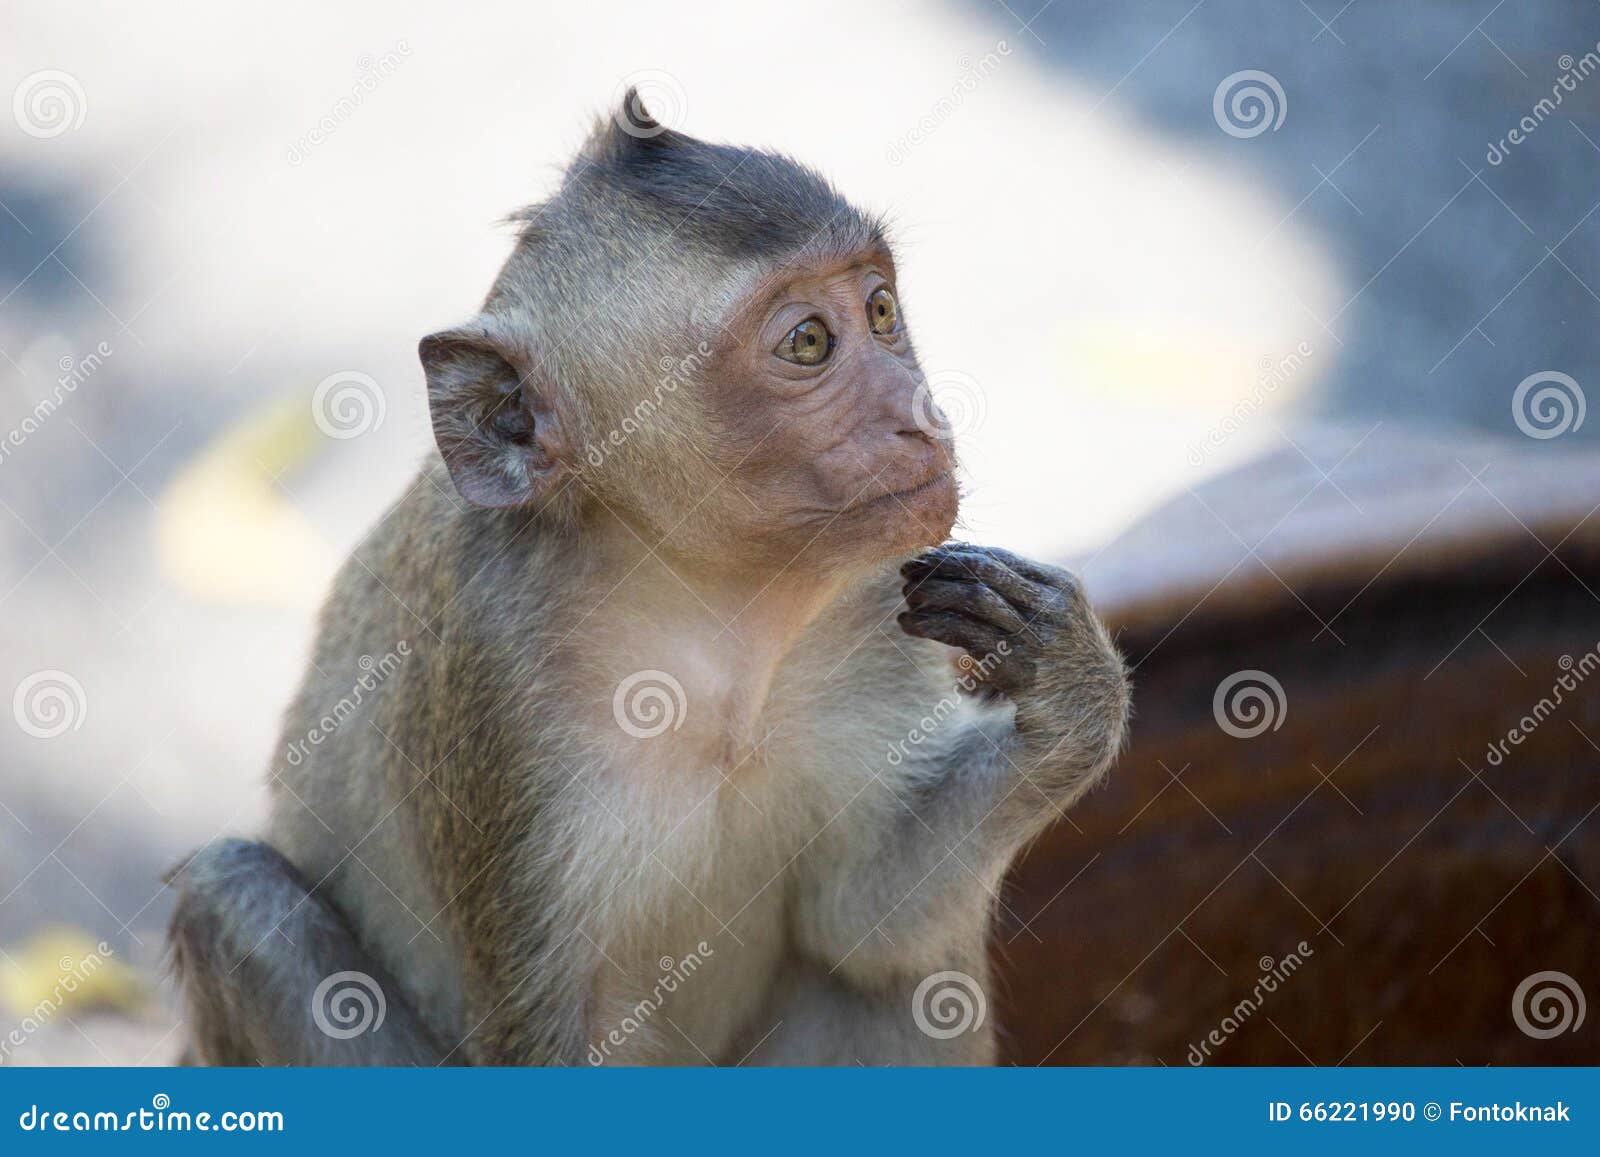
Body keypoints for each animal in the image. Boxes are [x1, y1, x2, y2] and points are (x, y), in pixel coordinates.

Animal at [166, 93, 1130, 1066]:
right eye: (809, 341)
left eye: (882, 307)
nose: (922, 417)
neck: (710, 604)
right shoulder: (495, 681)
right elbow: (550, 1035)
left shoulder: (871, 597)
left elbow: (860, 921)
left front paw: (1068, 687)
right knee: (235, 893)